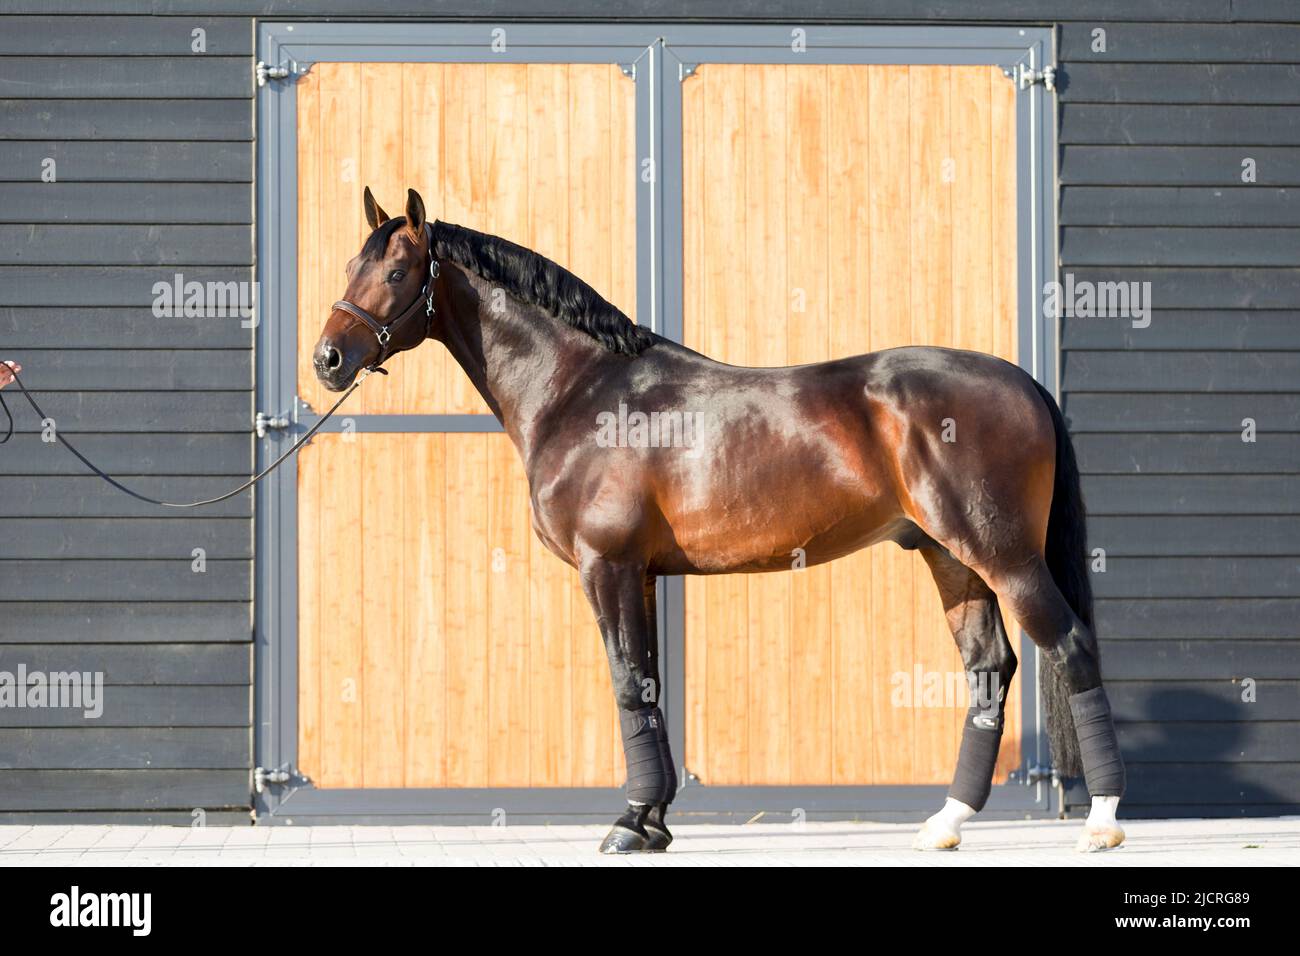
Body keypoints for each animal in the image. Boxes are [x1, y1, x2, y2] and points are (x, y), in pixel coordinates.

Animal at [311, 186, 1128, 854]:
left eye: (395, 273)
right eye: (351, 263)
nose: (327, 359)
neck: (582, 389)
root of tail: (1022, 381)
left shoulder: (606, 566)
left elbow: (625, 681)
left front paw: (628, 825)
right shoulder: (638, 574)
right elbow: (647, 682)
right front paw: (654, 819)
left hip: (1004, 554)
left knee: (1072, 649)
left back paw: (1102, 821)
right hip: (951, 556)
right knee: (988, 669)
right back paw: (946, 822)